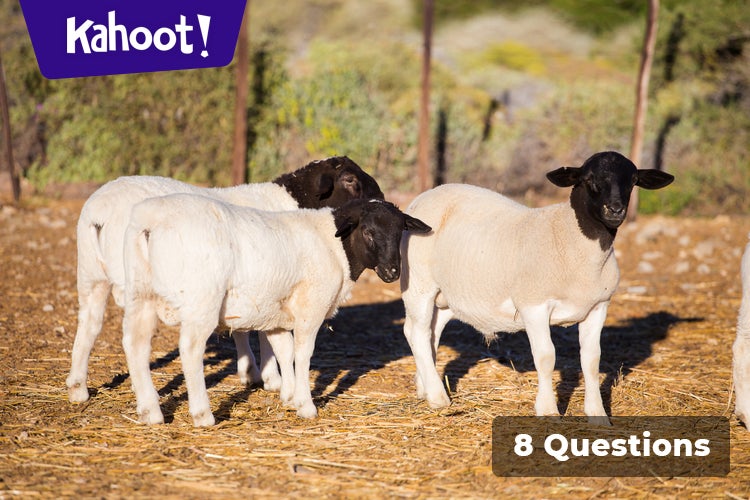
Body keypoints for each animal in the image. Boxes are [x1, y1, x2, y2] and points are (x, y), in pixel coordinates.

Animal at [67, 157, 384, 404]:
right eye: (350, 180)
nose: (380, 200)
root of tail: (100, 214)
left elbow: (243, 327)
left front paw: (251, 371)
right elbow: (263, 332)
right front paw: (272, 378)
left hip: (90, 275)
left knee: (90, 324)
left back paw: (78, 388)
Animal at [121, 195, 430, 426]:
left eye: (400, 232)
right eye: (367, 231)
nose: (392, 272)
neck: (335, 246)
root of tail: (150, 224)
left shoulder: (277, 314)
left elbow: (284, 351)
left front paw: (290, 396)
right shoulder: (311, 307)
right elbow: (303, 354)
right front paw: (306, 405)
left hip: (139, 294)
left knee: (135, 346)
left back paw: (150, 412)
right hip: (202, 300)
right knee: (189, 350)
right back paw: (202, 414)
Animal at [400, 151, 674, 423]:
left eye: (633, 180)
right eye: (588, 179)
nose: (615, 210)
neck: (570, 238)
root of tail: (425, 195)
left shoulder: (598, 306)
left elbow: (592, 359)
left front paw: (597, 413)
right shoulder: (533, 305)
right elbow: (545, 356)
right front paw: (548, 410)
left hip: (447, 296)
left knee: (429, 332)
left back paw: (425, 387)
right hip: (419, 285)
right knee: (418, 333)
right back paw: (438, 397)